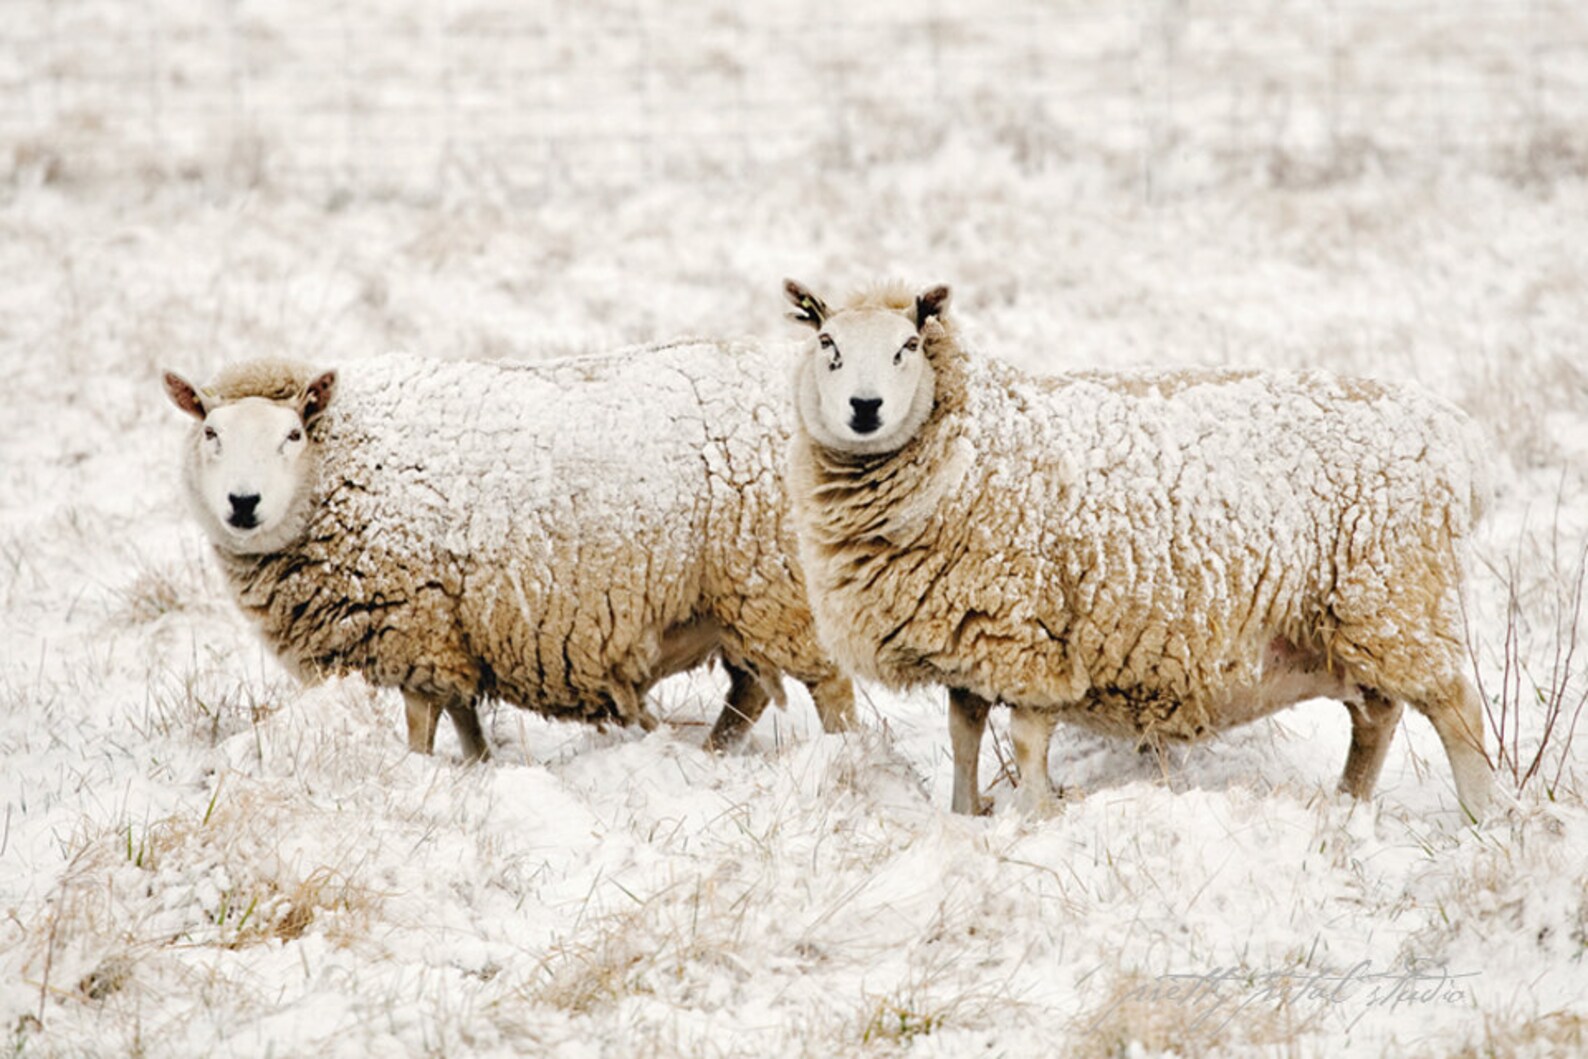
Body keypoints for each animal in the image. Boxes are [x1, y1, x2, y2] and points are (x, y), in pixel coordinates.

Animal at [162, 343, 854, 760]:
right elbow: (463, 714)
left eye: (292, 434)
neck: (347, 464)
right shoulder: (452, 631)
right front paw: (479, 767)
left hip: (779, 587)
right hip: (735, 600)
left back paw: (844, 755)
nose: (243, 503)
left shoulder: (413, 626)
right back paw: (710, 753)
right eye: (211, 432)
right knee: (750, 689)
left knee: (830, 685)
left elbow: (420, 724)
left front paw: (419, 774)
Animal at [782, 279, 1494, 818]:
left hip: (1400, 599)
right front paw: (965, 816)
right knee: (1376, 716)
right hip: (1356, 619)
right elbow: (964, 736)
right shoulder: (974, 636)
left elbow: (1026, 739)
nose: (865, 407)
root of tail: (1455, 432)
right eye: (827, 344)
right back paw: (1348, 806)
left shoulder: (1029, 636)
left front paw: (1033, 820)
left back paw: (1481, 818)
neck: (969, 444)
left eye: (907, 346)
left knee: (1456, 713)